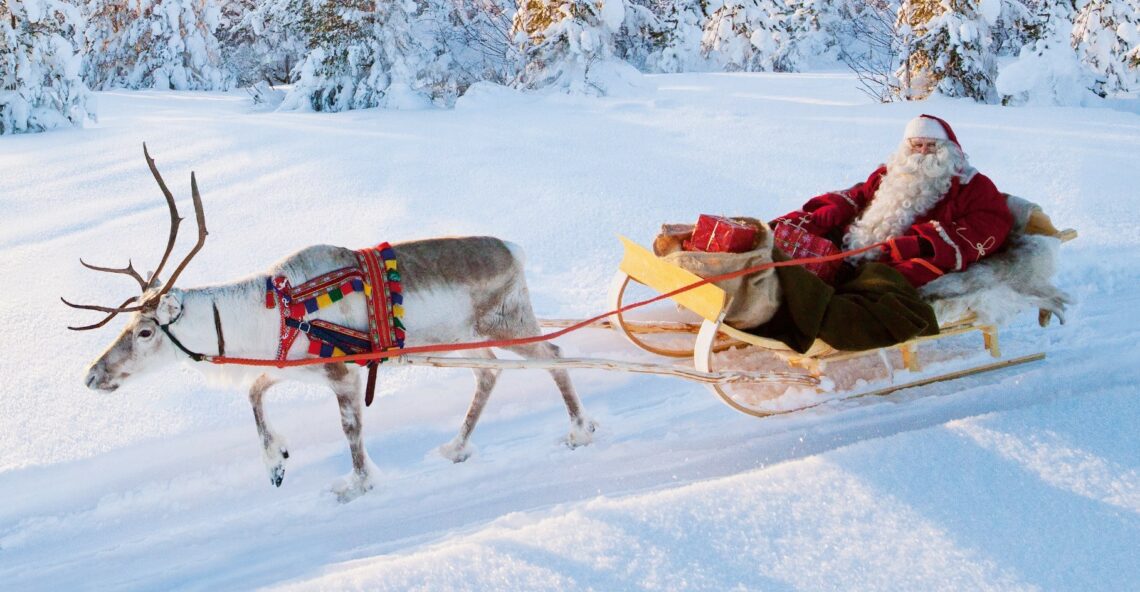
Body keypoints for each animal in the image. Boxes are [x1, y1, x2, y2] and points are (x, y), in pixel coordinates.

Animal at [65, 146, 596, 502]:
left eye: (145, 331)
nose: (91, 375)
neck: (270, 313)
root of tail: (515, 250)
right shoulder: (285, 368)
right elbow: (253, 394)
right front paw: (276, 462)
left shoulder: (344, 374)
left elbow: (351, 431)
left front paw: (357, 484)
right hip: (459, 340)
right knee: (488, 372)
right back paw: (456, 448)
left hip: (510, 322)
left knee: (555, 356)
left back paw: (580, 431)